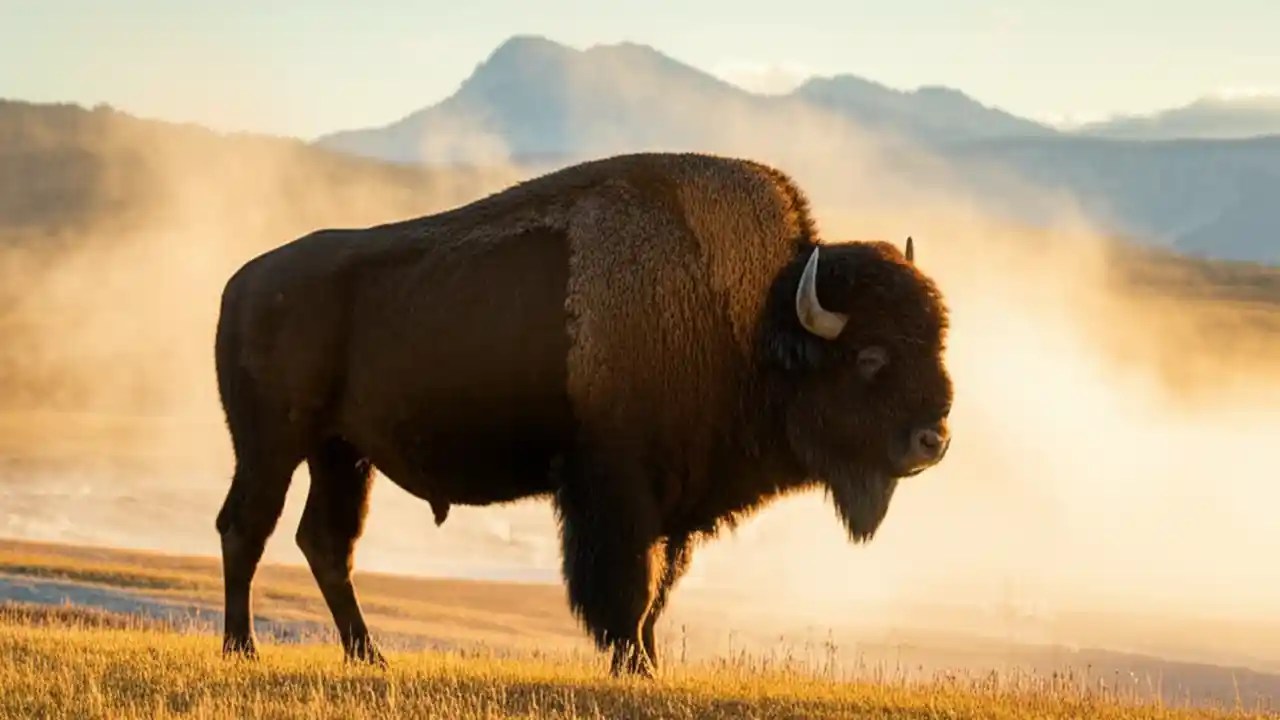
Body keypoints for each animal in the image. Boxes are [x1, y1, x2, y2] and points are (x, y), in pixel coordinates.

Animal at [213, 151, 953, 677]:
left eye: (938, 340)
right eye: (870, 354)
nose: (934, 440)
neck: (754, 321)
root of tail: (241, 282)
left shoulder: (674, 506)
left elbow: (660, 589)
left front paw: (648, 660)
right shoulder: (615, 491)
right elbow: (630, 585)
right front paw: (634, 667)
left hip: (342, 453)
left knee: (325, 542)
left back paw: (369, 656)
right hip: (271, 445)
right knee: (246, 528)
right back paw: (242, 648)